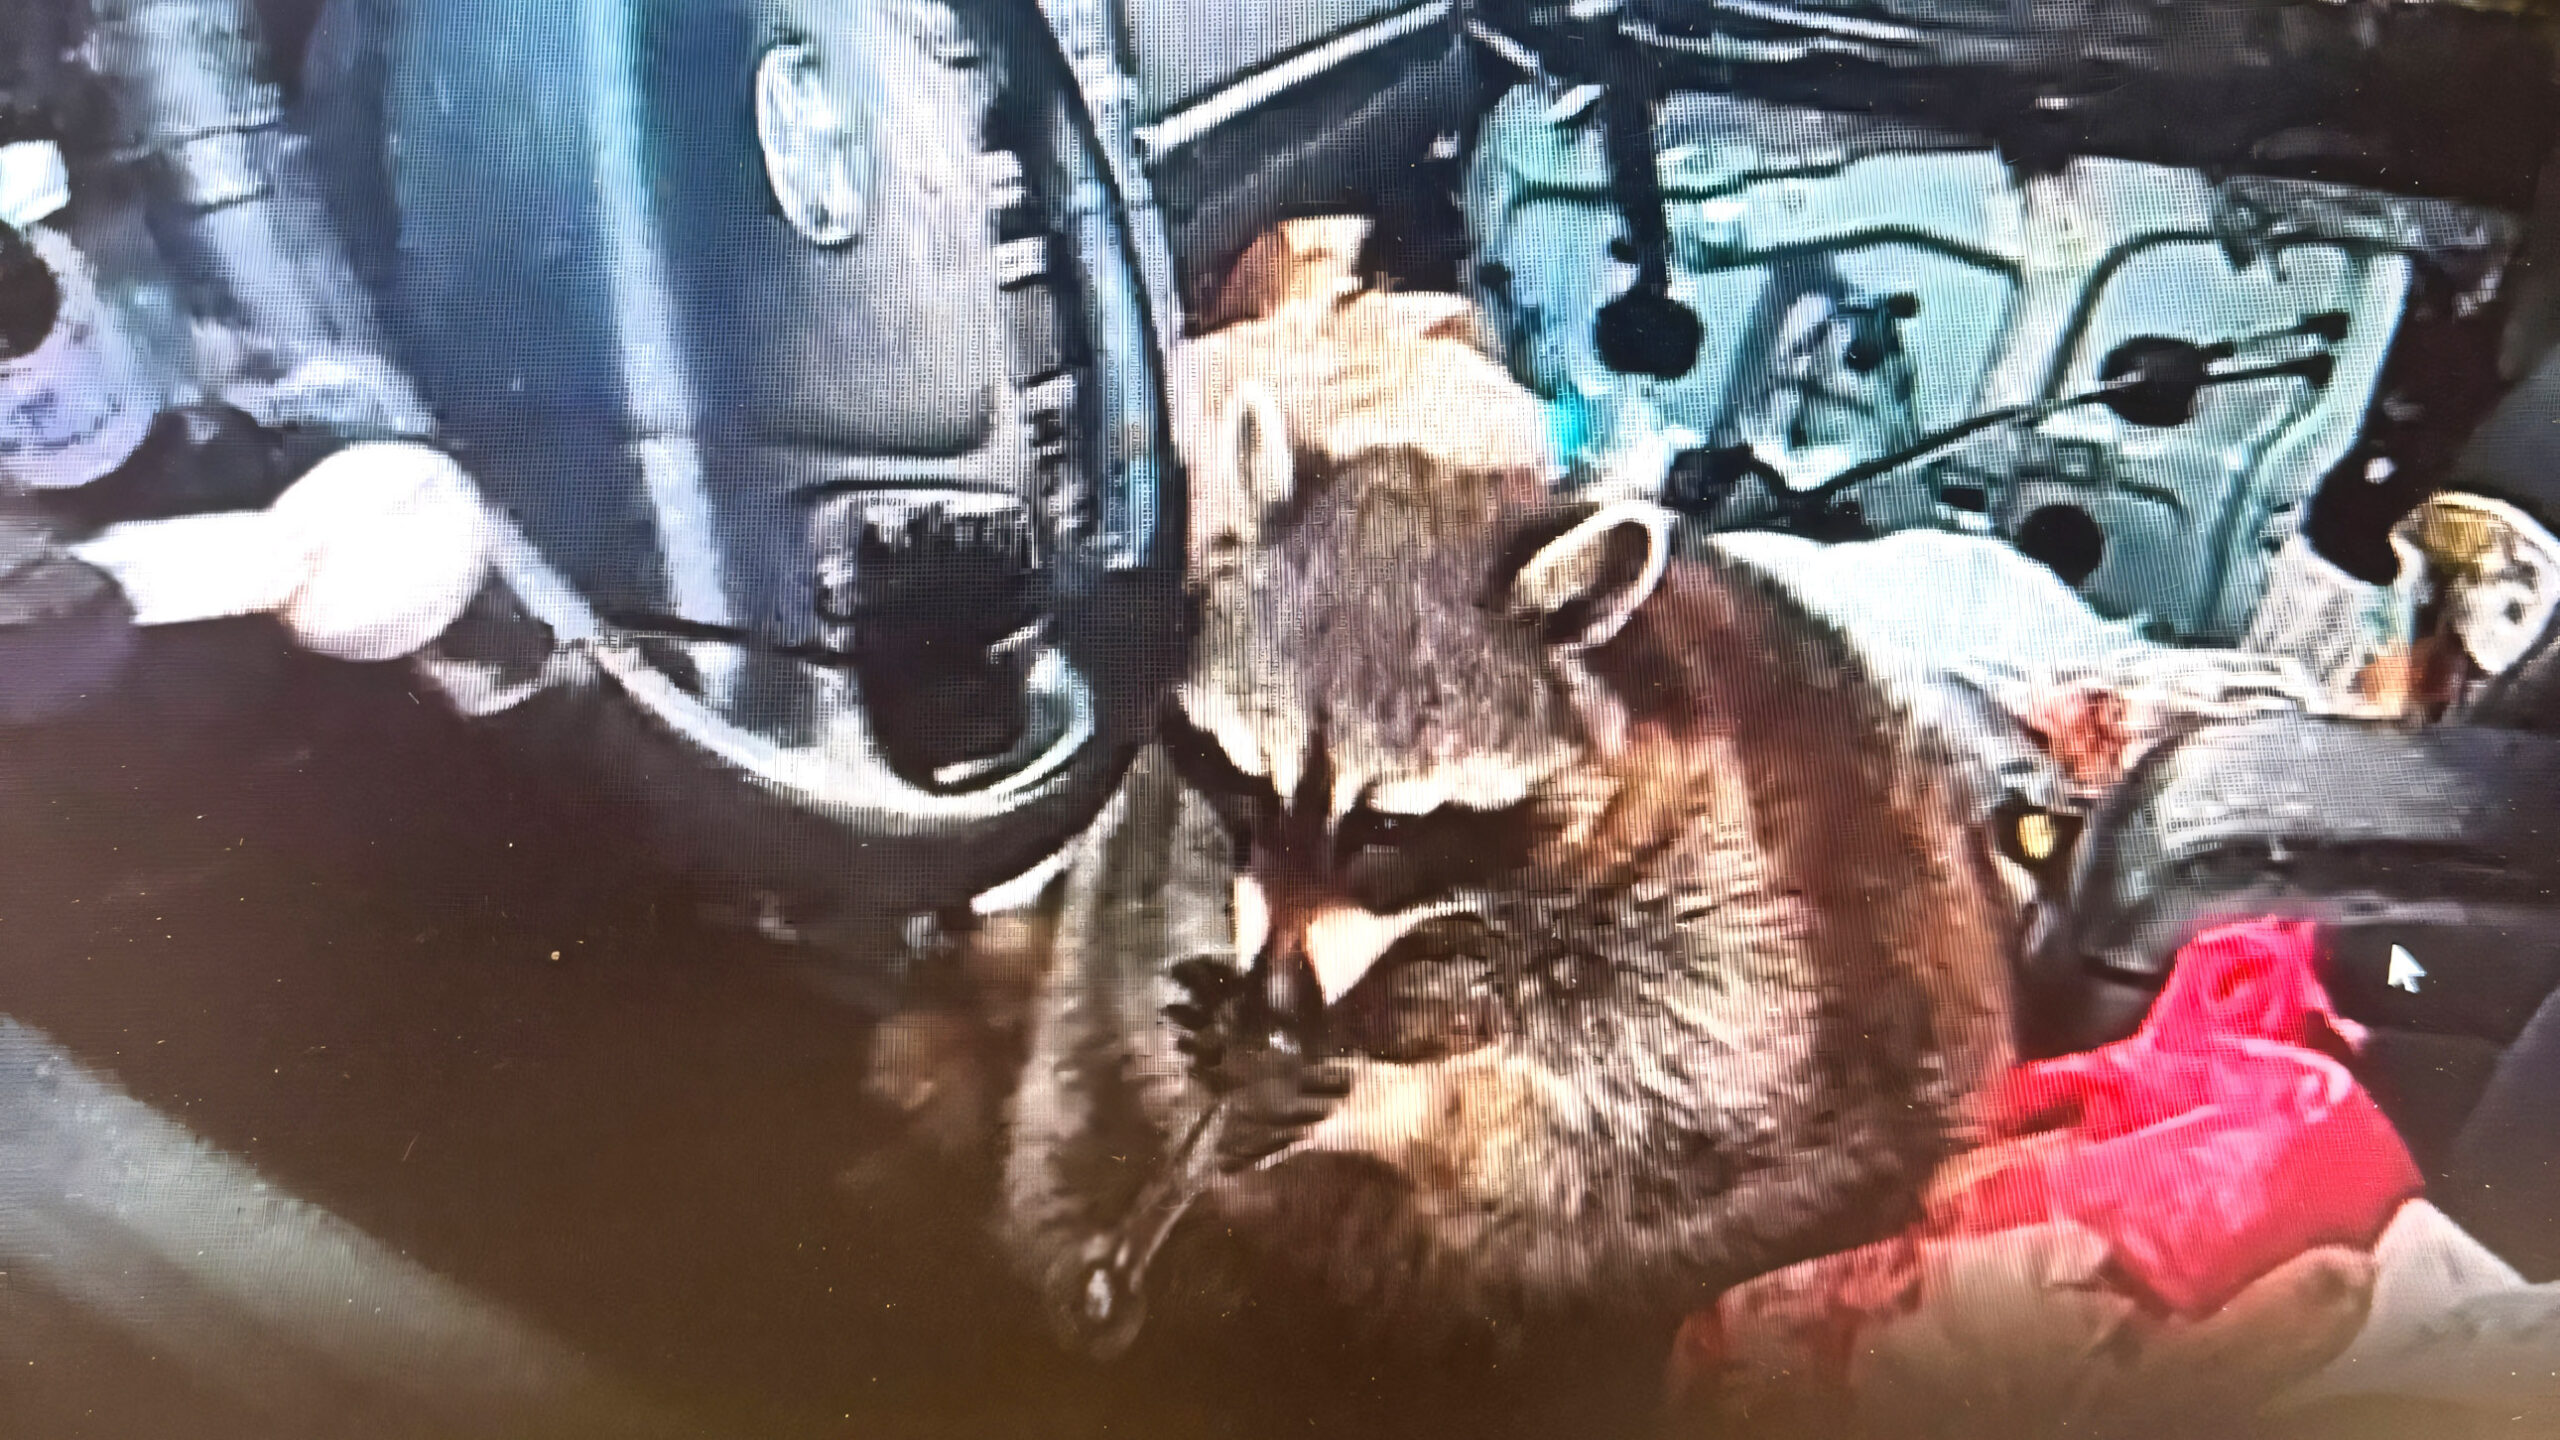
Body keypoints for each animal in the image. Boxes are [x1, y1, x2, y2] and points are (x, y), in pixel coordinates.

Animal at [997, 382, 2016, 1376]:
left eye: (1388, 828)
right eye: (1248, 780)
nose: (1279, 1008)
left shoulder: (1733, 881)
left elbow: (1655, 1084)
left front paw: (1414, 1070)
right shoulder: (1177, 838)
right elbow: (1164, 929)